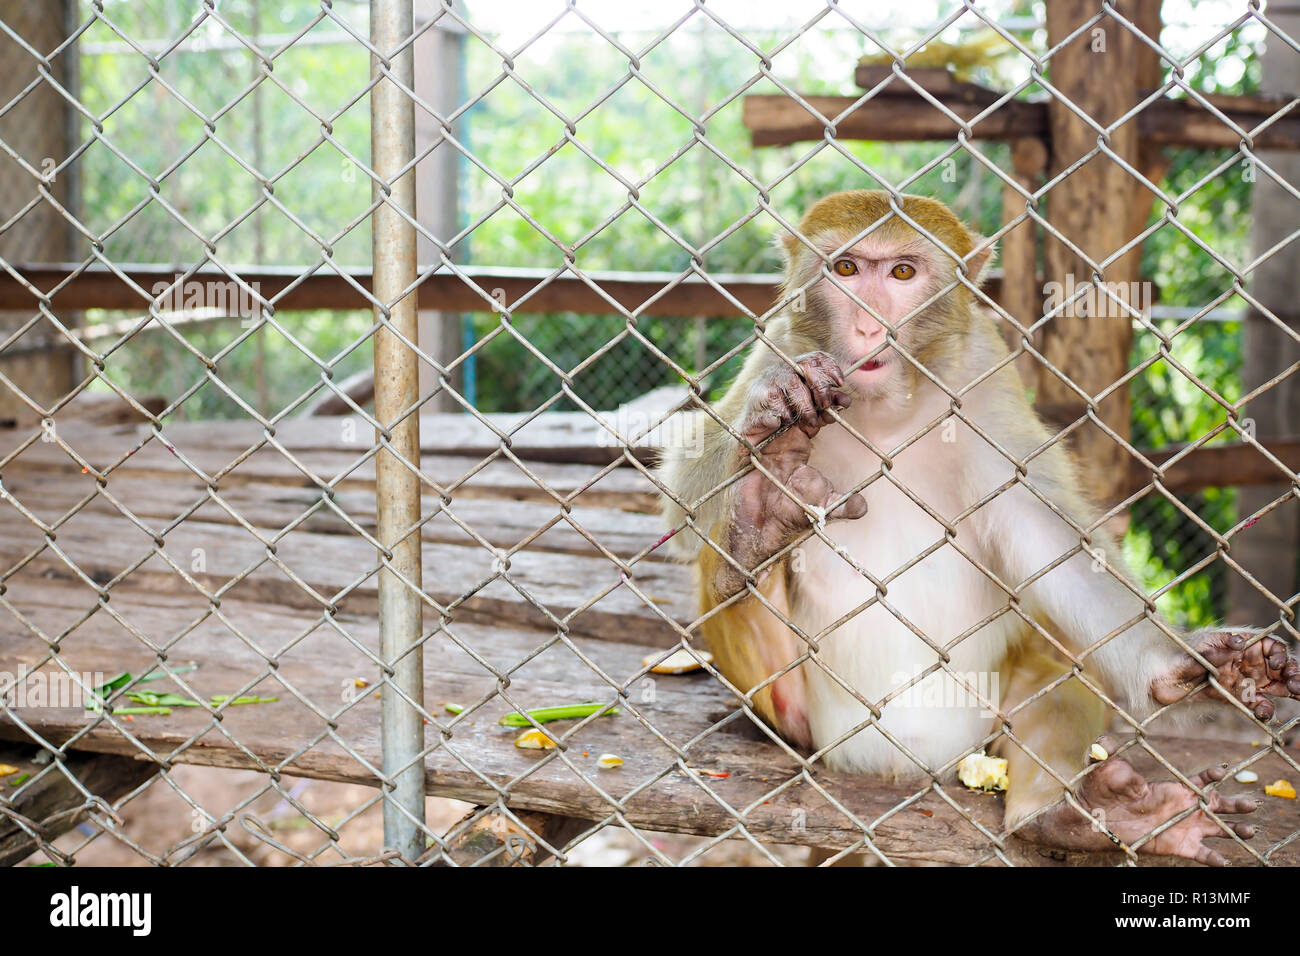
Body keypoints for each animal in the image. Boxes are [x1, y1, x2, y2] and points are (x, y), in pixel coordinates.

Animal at [657, 189, 1300, 865]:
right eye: (847, 270)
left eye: (902, 272)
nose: (867, 326)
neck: (886, 412)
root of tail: (903, 769)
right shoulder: (782, 343)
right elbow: (682, 503)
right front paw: (767, 415)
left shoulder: (984, 379)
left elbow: (1051, 541)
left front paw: (1182, 670)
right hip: (793, 718)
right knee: (719, 558)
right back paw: (758, 524)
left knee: (1058, 667)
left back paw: (1084, 817)